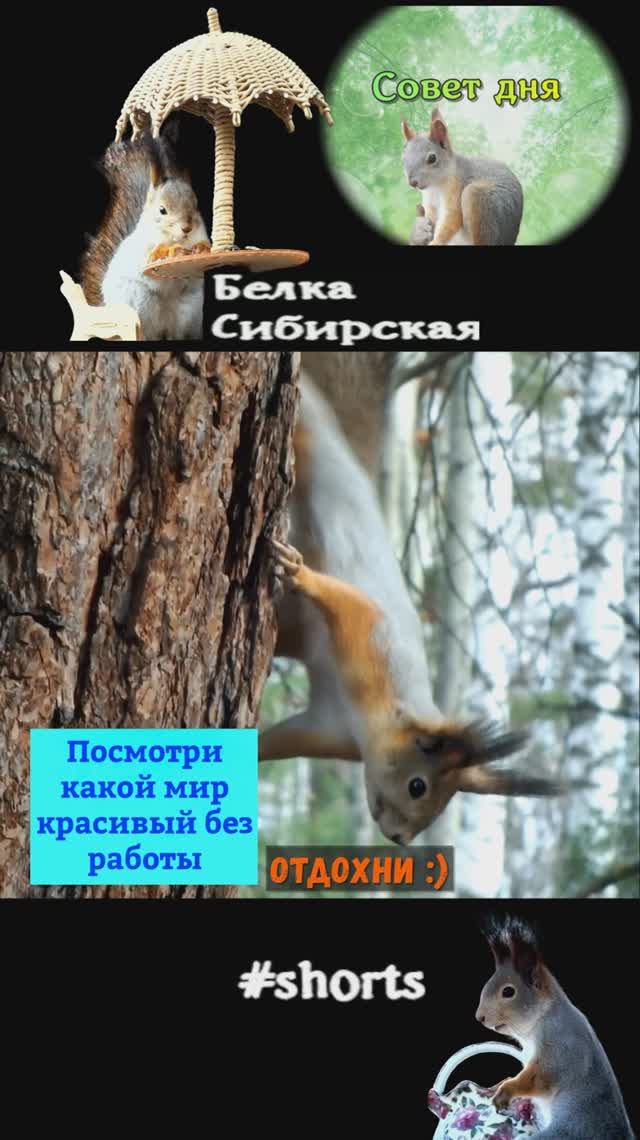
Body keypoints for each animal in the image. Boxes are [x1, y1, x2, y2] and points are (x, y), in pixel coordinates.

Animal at [81, 130, 210, 340]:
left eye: (196, 205)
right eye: (162, 210)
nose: (186, 228)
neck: (177, 239)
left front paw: (199, 249)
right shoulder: (142, 250)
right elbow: (150, 259)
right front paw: (170, 252)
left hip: (188, 312)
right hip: (137, 306)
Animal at [260, 358, 585, 844]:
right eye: (418, 786)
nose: (400, 839)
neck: (372, 719)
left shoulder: (326, 728)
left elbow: (278, 740)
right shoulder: (371, 644)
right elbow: (353, 606)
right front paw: (301, 573)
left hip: (298, 628)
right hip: (318, 448)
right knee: (309, 433)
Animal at [402, 109, 523, 246]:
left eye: (432, 158)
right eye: (403, 158)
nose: (412, 182)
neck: (435, 185)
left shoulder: (456, 188)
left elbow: (451, 219)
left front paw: (436, 242)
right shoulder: (429, 204)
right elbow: (430, 218)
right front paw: (419, 231)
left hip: (480, 201)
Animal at [476, 916, 634, 1138]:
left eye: (508, 992)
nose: (479, 1017)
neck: (542, 1019)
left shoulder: (561, 1046)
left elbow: (540, 1077)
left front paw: (507, 1088)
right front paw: (499, 1083)